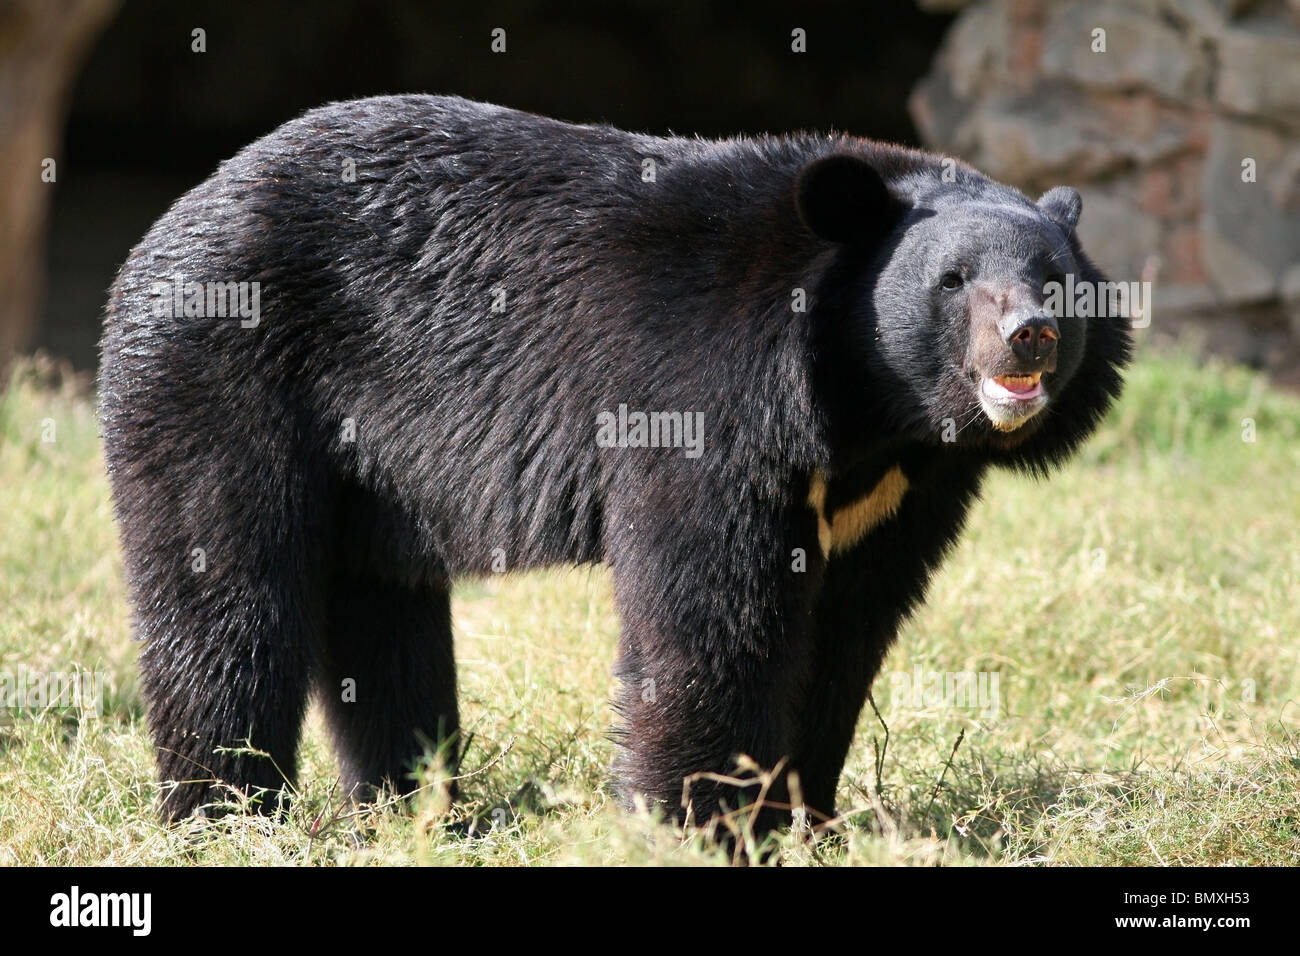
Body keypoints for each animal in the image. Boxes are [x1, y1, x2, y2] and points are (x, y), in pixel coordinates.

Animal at [98, 94, 1131, 837]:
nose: (1030, 337)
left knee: (382, 613)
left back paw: (415, 806)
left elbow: (847, 629)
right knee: (225, 588)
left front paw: (806, 817)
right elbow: (709, 612)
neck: (873, 413)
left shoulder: (902, 493)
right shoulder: (709, 399)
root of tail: (164, 227)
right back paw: (223, 811)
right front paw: (696, 821)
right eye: (954, 281)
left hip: (367, 463)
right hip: (220, 374)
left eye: (1054, 278)